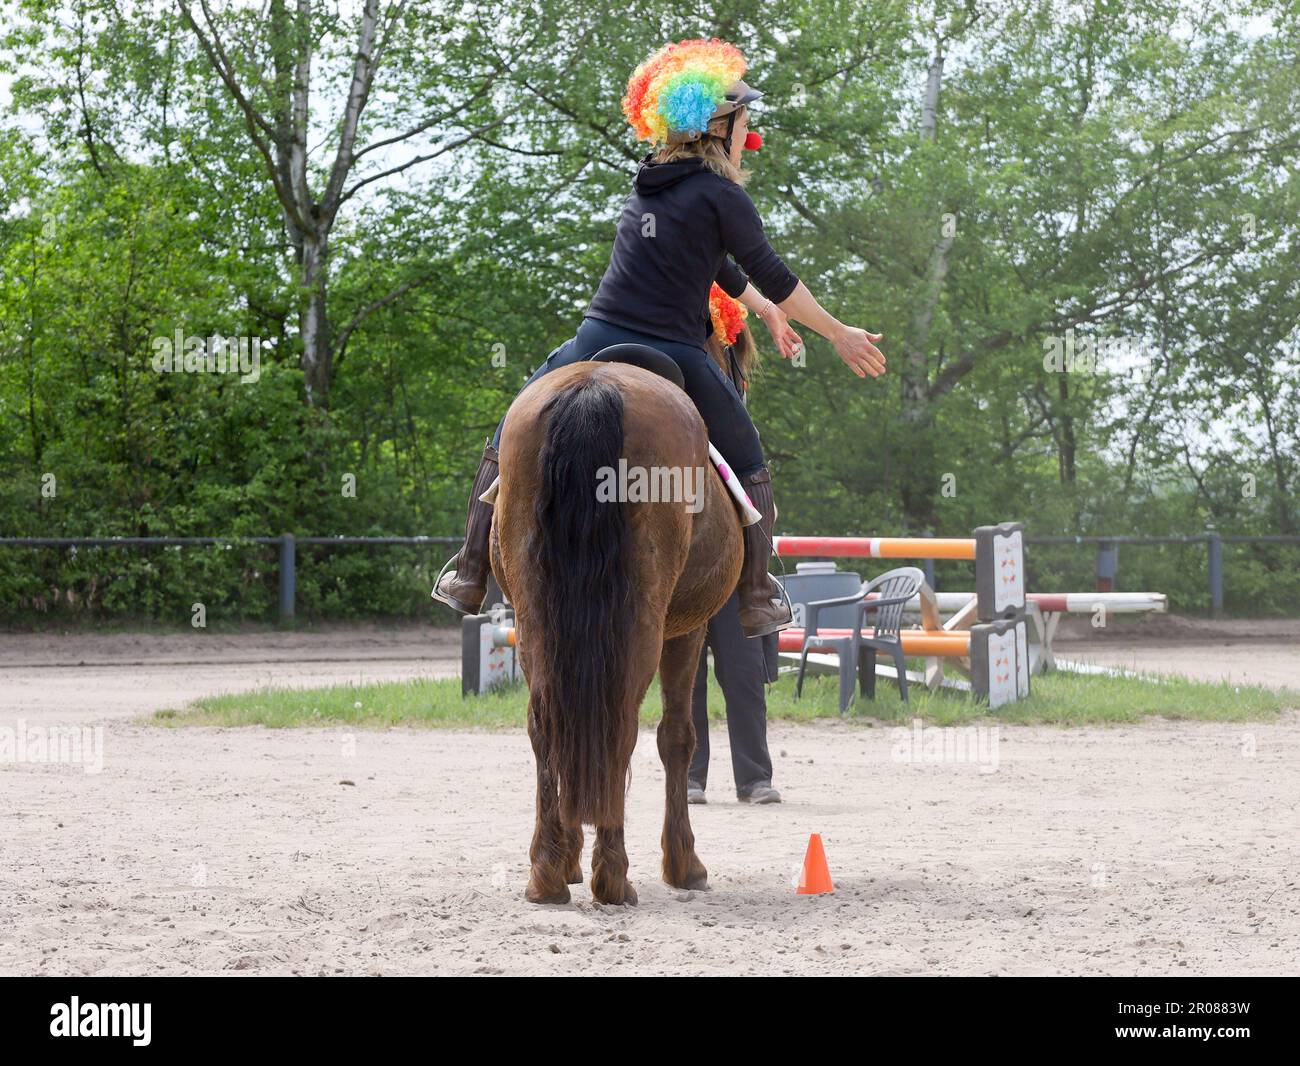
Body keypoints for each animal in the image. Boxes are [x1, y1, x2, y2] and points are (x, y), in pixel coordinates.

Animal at [489, 357, 743, 905]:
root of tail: (593, 388)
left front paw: (568, 858)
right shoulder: (688, 630)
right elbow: (678, 736)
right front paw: (684, 864)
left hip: (536, 622)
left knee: (549, 723)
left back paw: (547, 873)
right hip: (640, 628)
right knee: (619, 724)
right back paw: (613, 875)